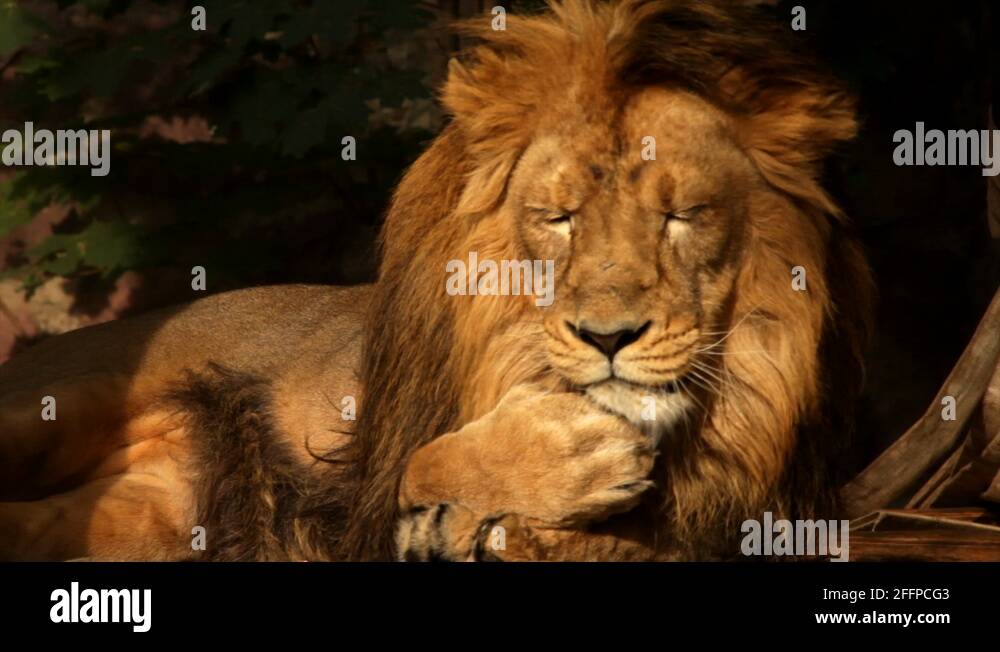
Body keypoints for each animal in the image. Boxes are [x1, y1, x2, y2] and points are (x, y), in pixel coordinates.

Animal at [0, 0, 872, 561]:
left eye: (684, 214)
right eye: (558, 218)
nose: (609, 338)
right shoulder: (348, 493)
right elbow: (417, 465)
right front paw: (560, 456)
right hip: (64, 398)